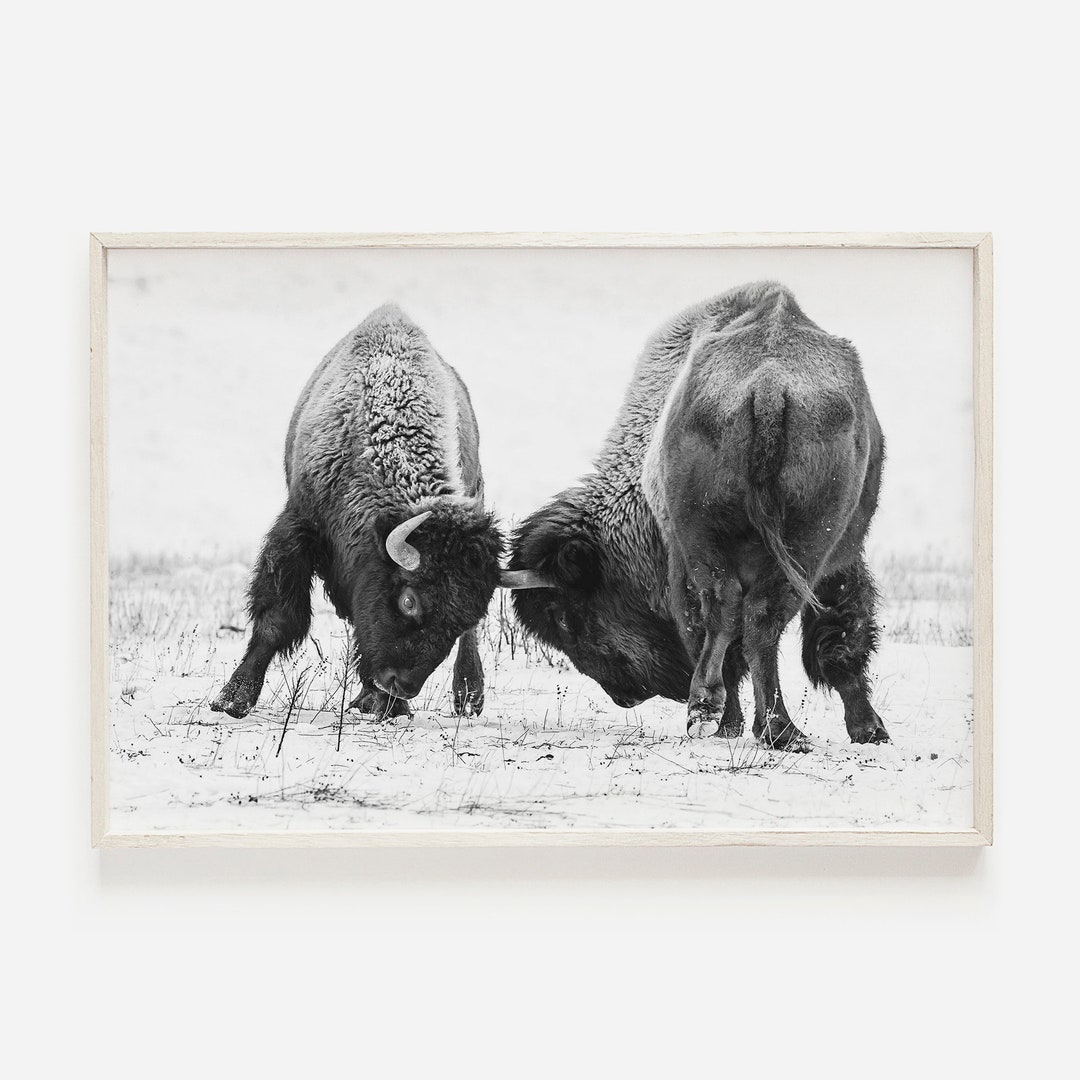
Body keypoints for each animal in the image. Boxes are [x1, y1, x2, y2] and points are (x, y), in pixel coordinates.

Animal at [211, 304, 504, 721]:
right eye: (409, 600)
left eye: (465, 615)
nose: (401, 685)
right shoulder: (300, 527)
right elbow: (277, 620)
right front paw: (231, 700)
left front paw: (384, 704)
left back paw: (465, 697)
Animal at [508, 282, 889, 749]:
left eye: (566, 618)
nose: (624, 696)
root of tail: (768, 385)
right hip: (796, 546)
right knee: (750, 620)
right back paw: (765, 726)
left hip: (737, 544)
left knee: (735, 617)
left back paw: (735, 718)